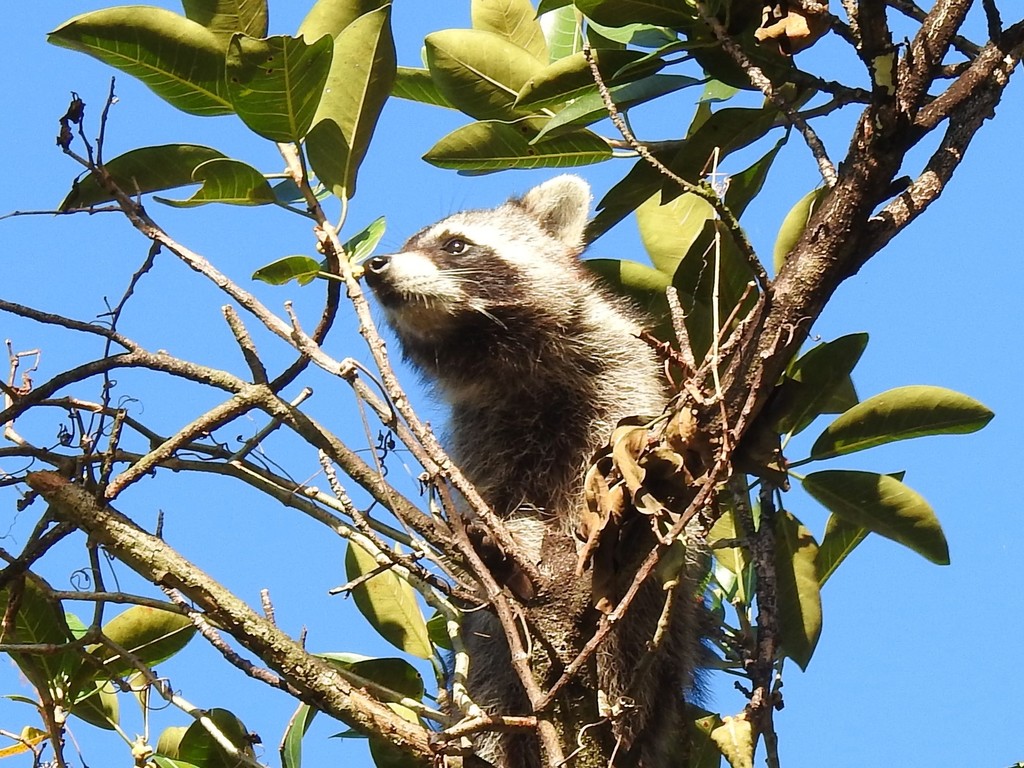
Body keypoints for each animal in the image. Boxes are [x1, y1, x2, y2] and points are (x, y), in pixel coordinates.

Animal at [364, 176, 700, 767]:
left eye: (456, 245)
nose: (373, 266)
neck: (497, 354)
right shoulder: (481, 433)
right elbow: (498, 504)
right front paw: (503, 542)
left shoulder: (619, 379)